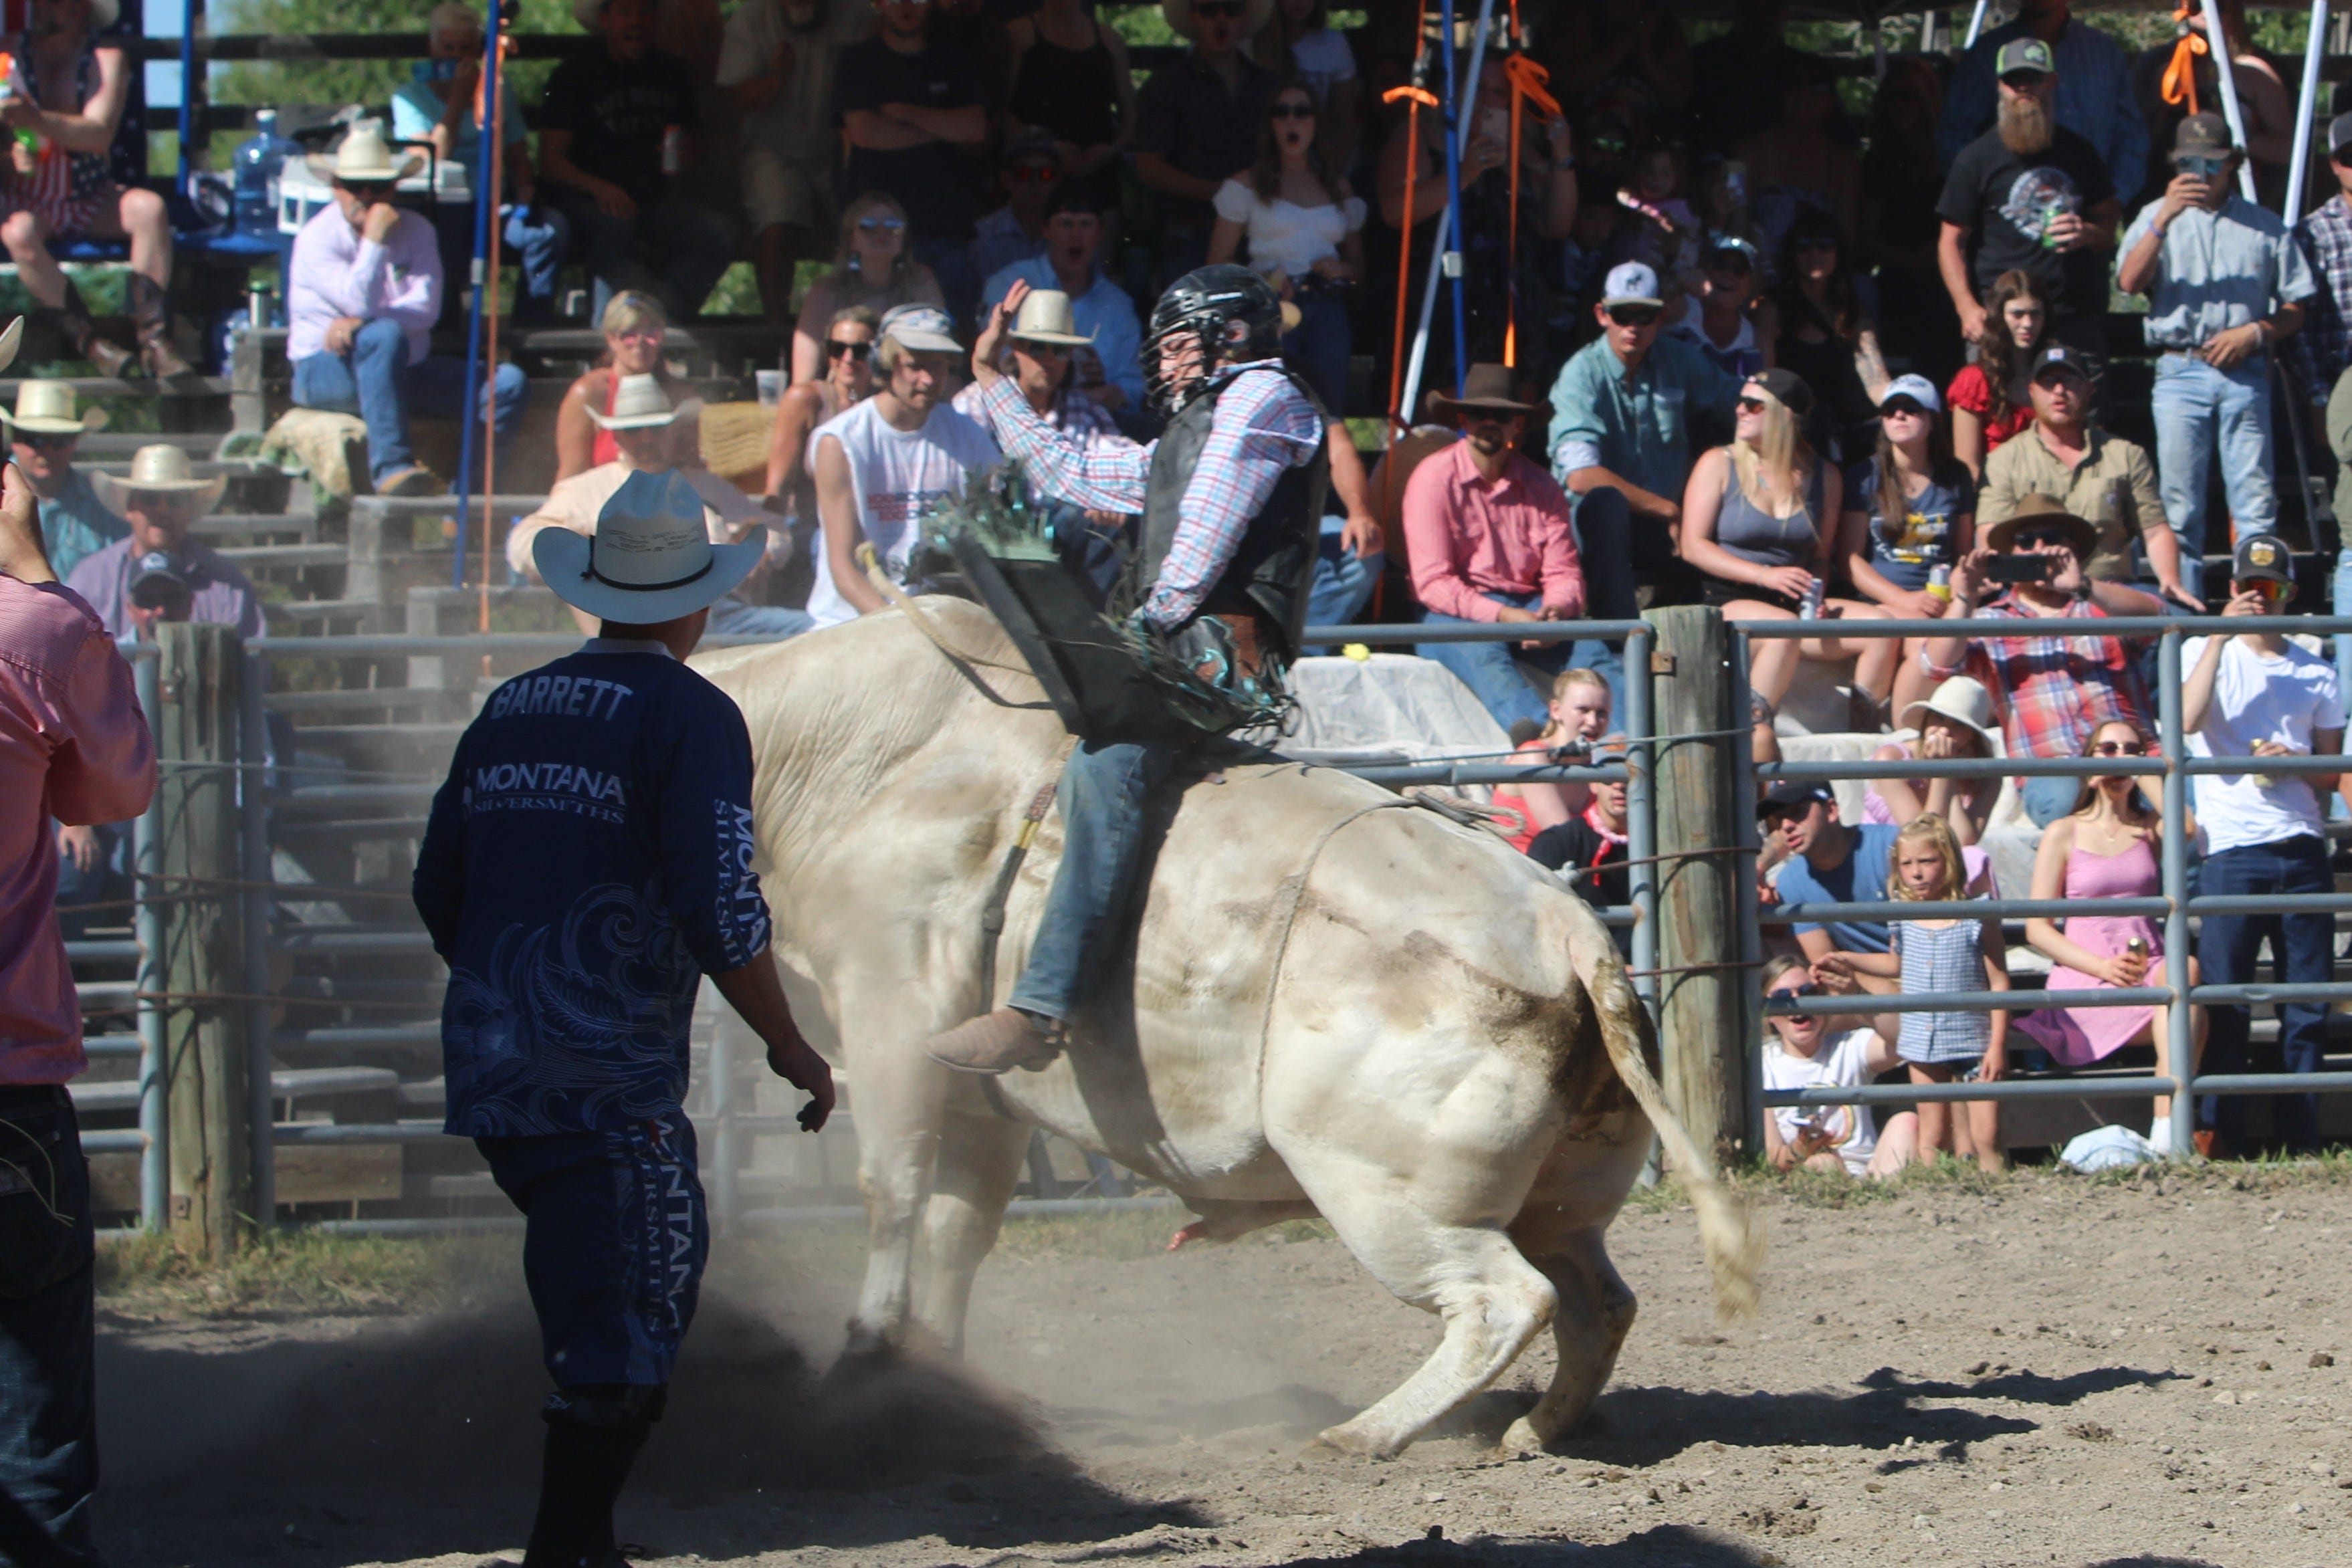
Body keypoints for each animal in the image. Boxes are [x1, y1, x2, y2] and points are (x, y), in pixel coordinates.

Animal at [696, 599, 1761, 1457]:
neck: (859, 757)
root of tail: (1566, 927)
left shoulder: (893, 1019)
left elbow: (894, 1191)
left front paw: (868, 1361)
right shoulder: (981, 1094)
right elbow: (959, 1227)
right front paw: (940, 1373)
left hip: (1389, 1193)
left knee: (1506, 1302)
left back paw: (1363, 1432)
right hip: (1562, 1197)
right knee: (1596, 1303)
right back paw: (1534, 1429)